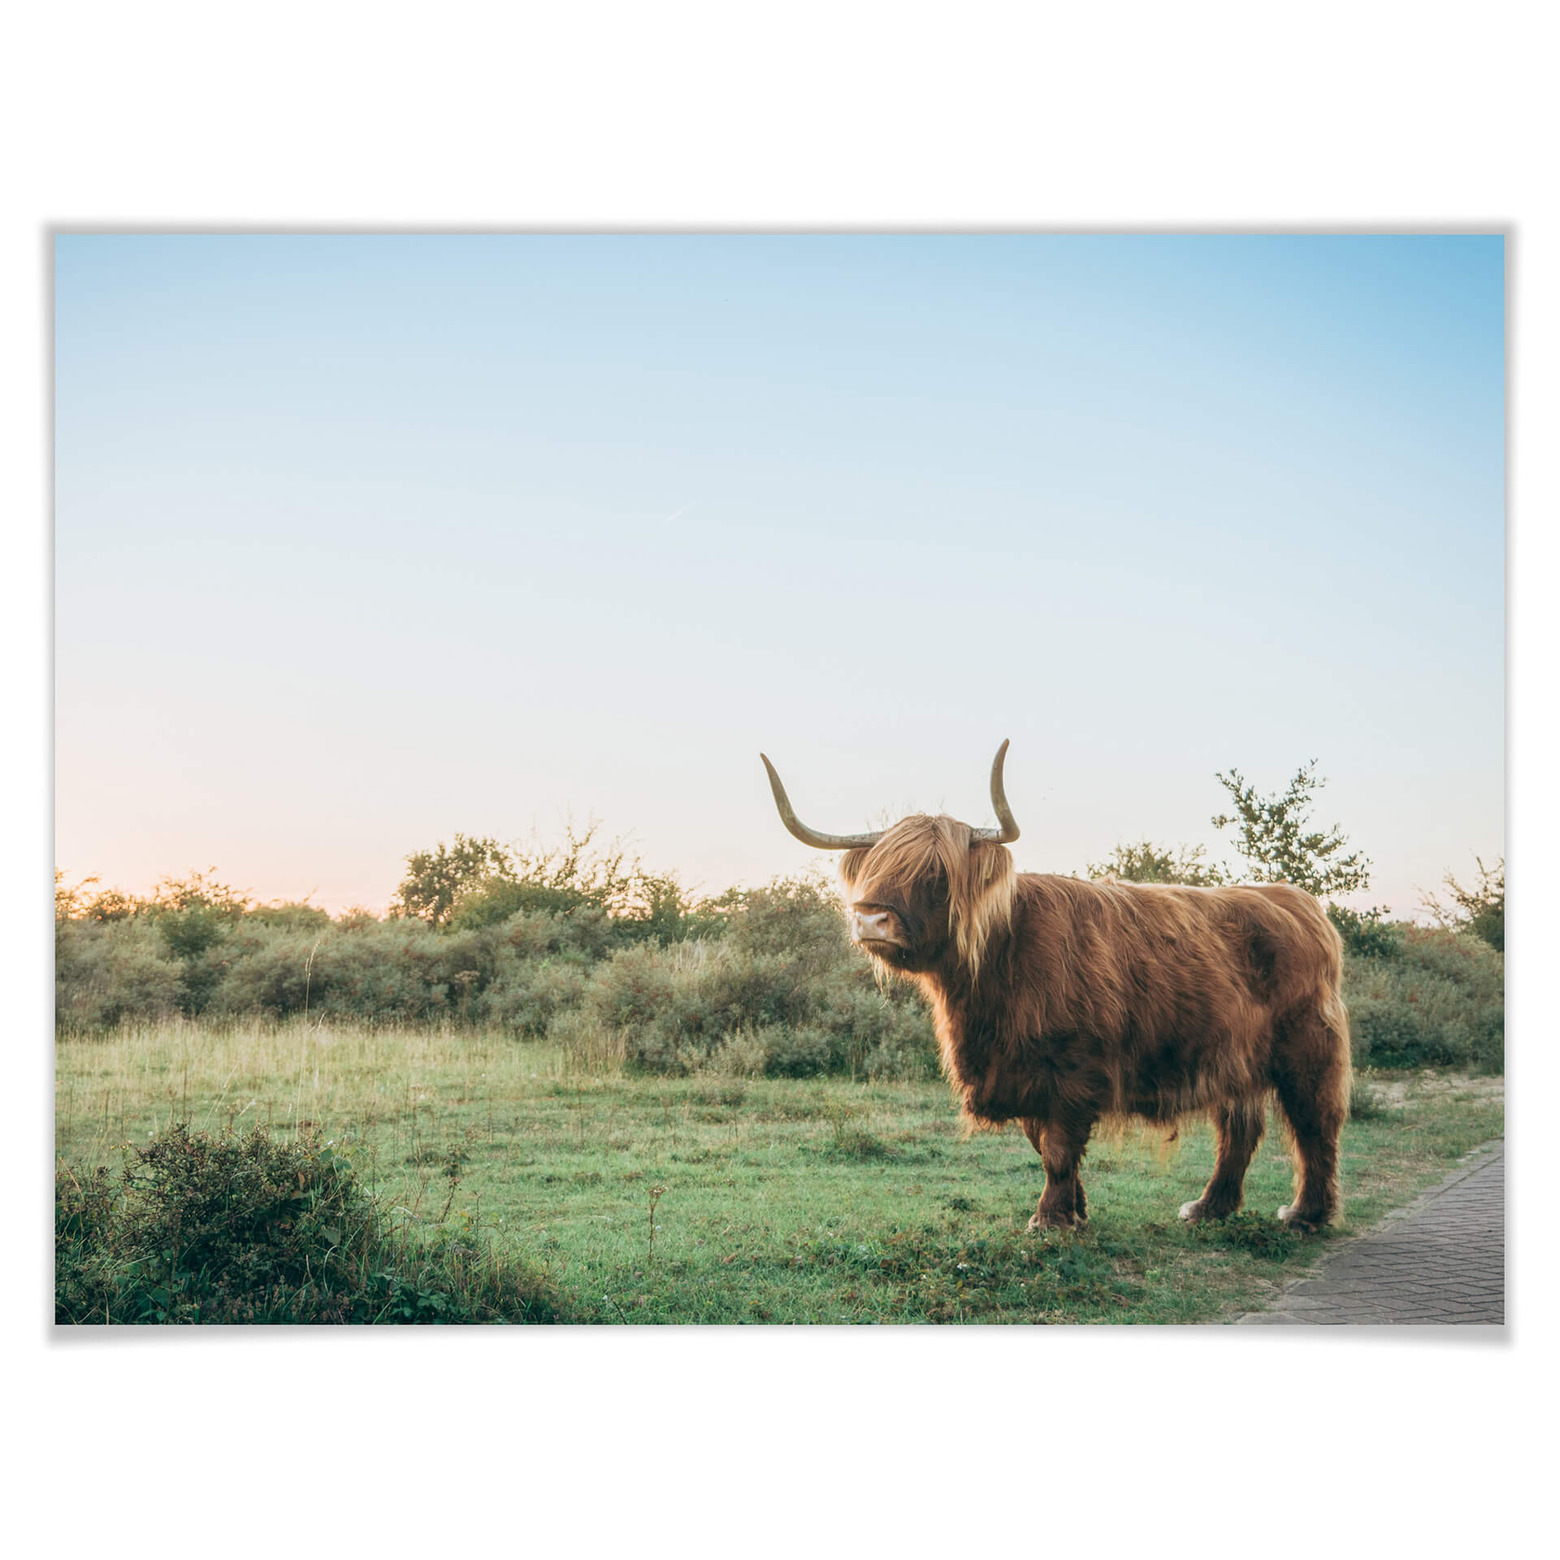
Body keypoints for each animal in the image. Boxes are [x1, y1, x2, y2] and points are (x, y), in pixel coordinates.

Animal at [760, 741, 1351, 1232]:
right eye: (875, 867)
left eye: (937, 875)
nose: (870, 919)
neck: (998, 966)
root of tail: (1294, 900)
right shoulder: (1020, 1070)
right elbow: (1042, 1143)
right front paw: (1076, 1211)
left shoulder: (1075, 1067)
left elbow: (1061, 1148)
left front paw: (1049, 1220)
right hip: (1234, 1055)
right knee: (1239, 1129)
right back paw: (1209, 1207)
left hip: (1306, 1048)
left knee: (1315, 1124)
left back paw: (1306, 1215)